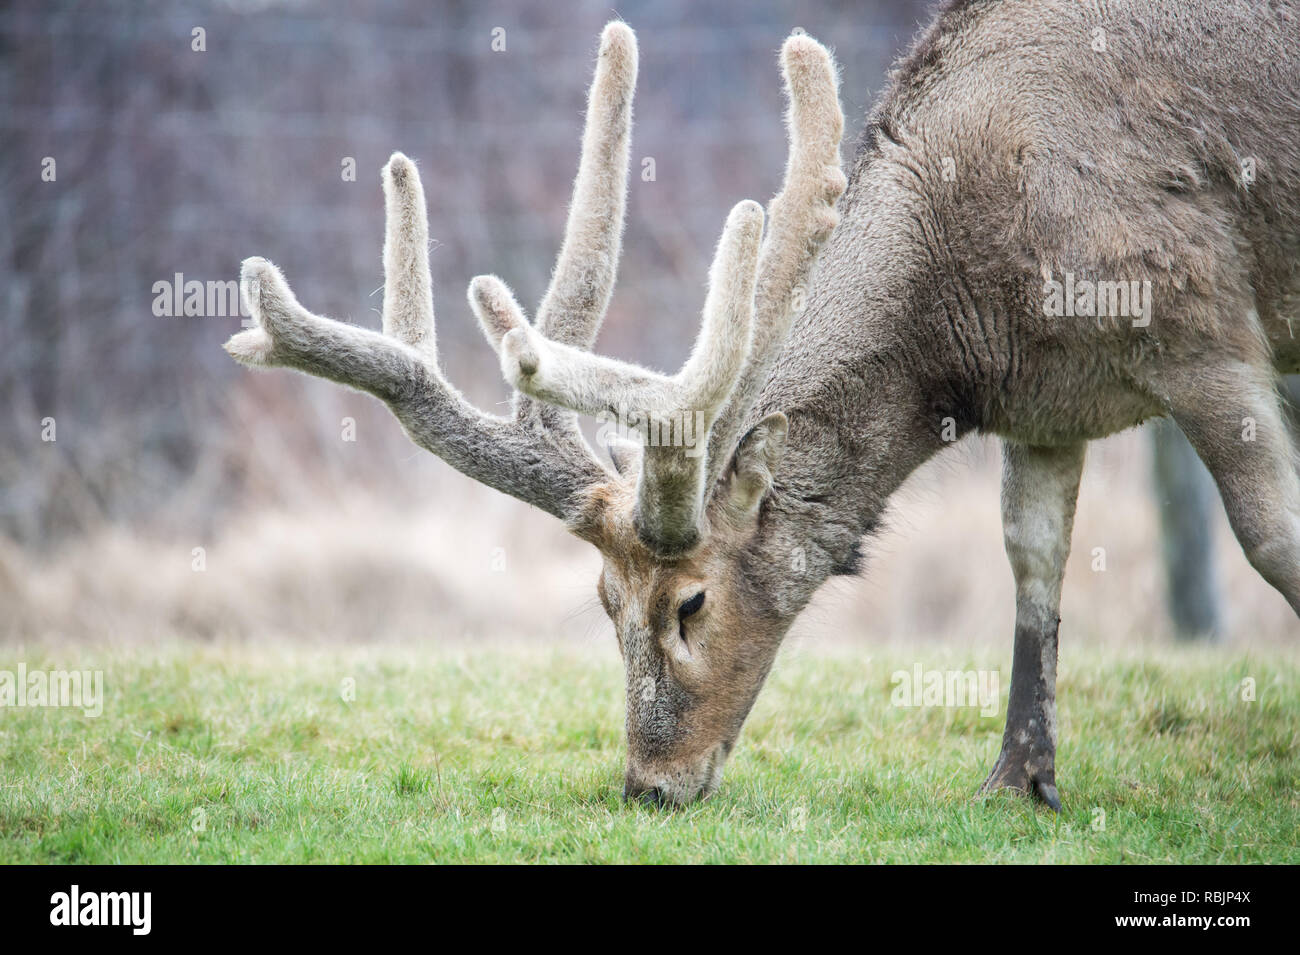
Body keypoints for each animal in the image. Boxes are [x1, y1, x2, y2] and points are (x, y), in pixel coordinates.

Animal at [226, 2, 1300, 810]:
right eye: (604, 600)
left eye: (691, 602)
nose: (649, 785)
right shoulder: (1047, 401)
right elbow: (1033, 560)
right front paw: (1019, 781)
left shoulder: (1203, 321)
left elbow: (1272, 537)